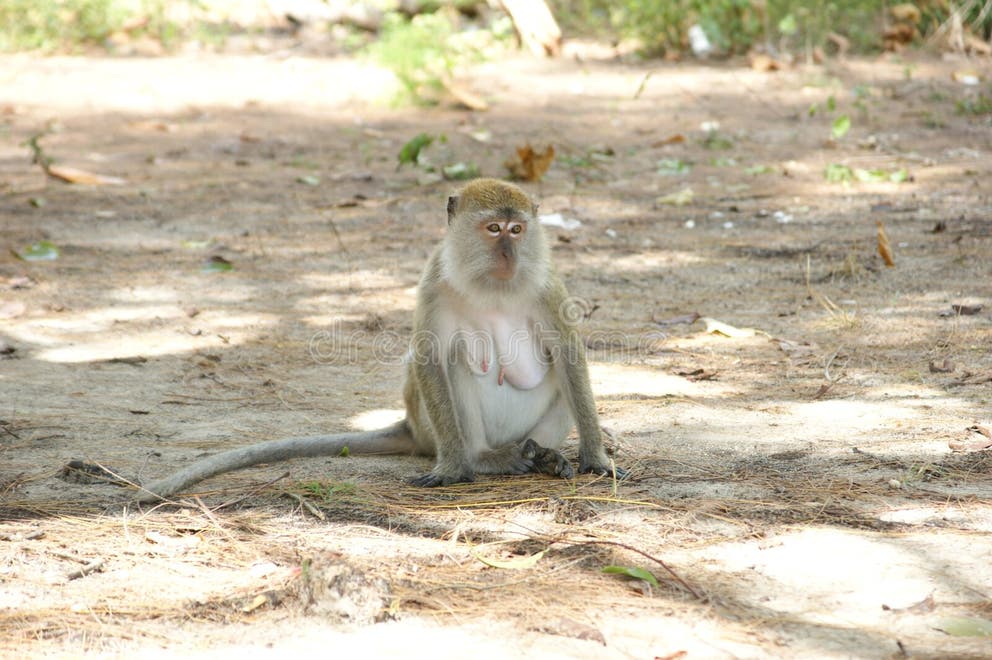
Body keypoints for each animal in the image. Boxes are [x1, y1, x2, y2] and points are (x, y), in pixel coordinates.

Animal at [134, 178, 626, 503]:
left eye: (517, 230)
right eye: (493, 230)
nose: (508, 256)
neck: (493, 286)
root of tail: (411, 427)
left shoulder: (545, 284)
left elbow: (567, 354)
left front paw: (596, 457)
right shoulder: (435, 282)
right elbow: (431, 358)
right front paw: (453, 469)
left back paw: (540, 454)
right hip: (432, 427)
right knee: (456, 360)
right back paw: (484, 459)